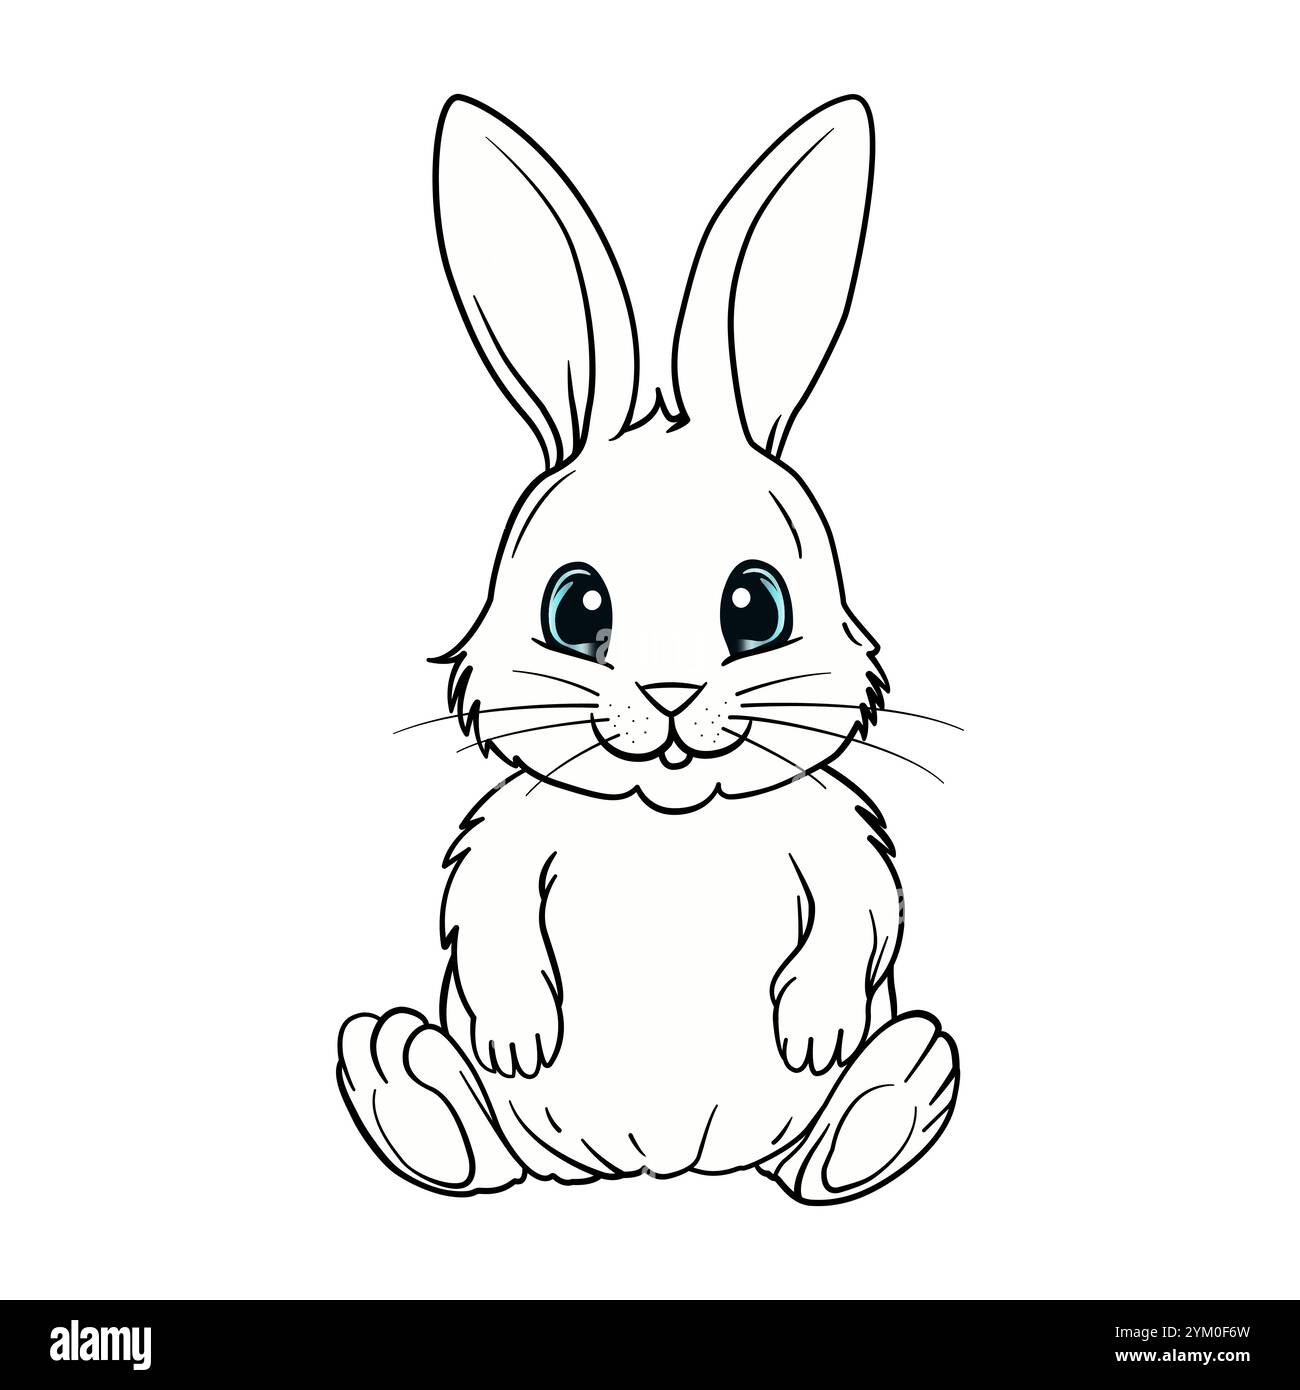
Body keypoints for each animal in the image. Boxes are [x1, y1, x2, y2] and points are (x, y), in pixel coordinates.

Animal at [337, 94, 958, 1204]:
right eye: (575, 607)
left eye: (756, 606)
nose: (670, 696)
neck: (671, 824)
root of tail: (662, 1168)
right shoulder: (505, 840)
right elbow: (486, 915)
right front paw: (516, 1041)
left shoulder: (842, 840)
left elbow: (861, 914)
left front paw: (813, 1031)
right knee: (480, 1144)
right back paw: (416, 1094)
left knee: (873, 1101)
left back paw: (872, 1116)